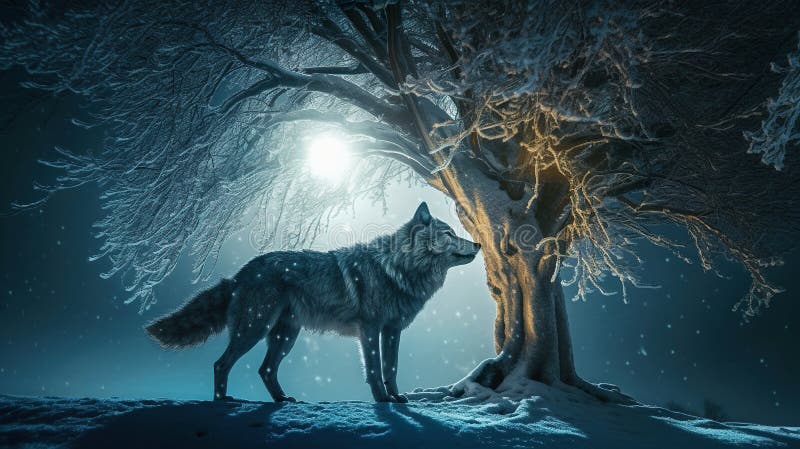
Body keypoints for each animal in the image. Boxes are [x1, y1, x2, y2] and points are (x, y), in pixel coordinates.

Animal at [145, 202, 481, 403]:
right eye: (449, 233)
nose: (478, 243)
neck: (398, 268)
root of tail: (239, 274)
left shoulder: (393, 330)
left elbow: (392, 368)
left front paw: (396, 399)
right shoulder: (370, 329)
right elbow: (375, 369)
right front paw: (382, 401)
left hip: (285, 336)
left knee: (265, 370)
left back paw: (282, 401)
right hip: (255, 329)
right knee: (221, 363)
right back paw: (222, 402)